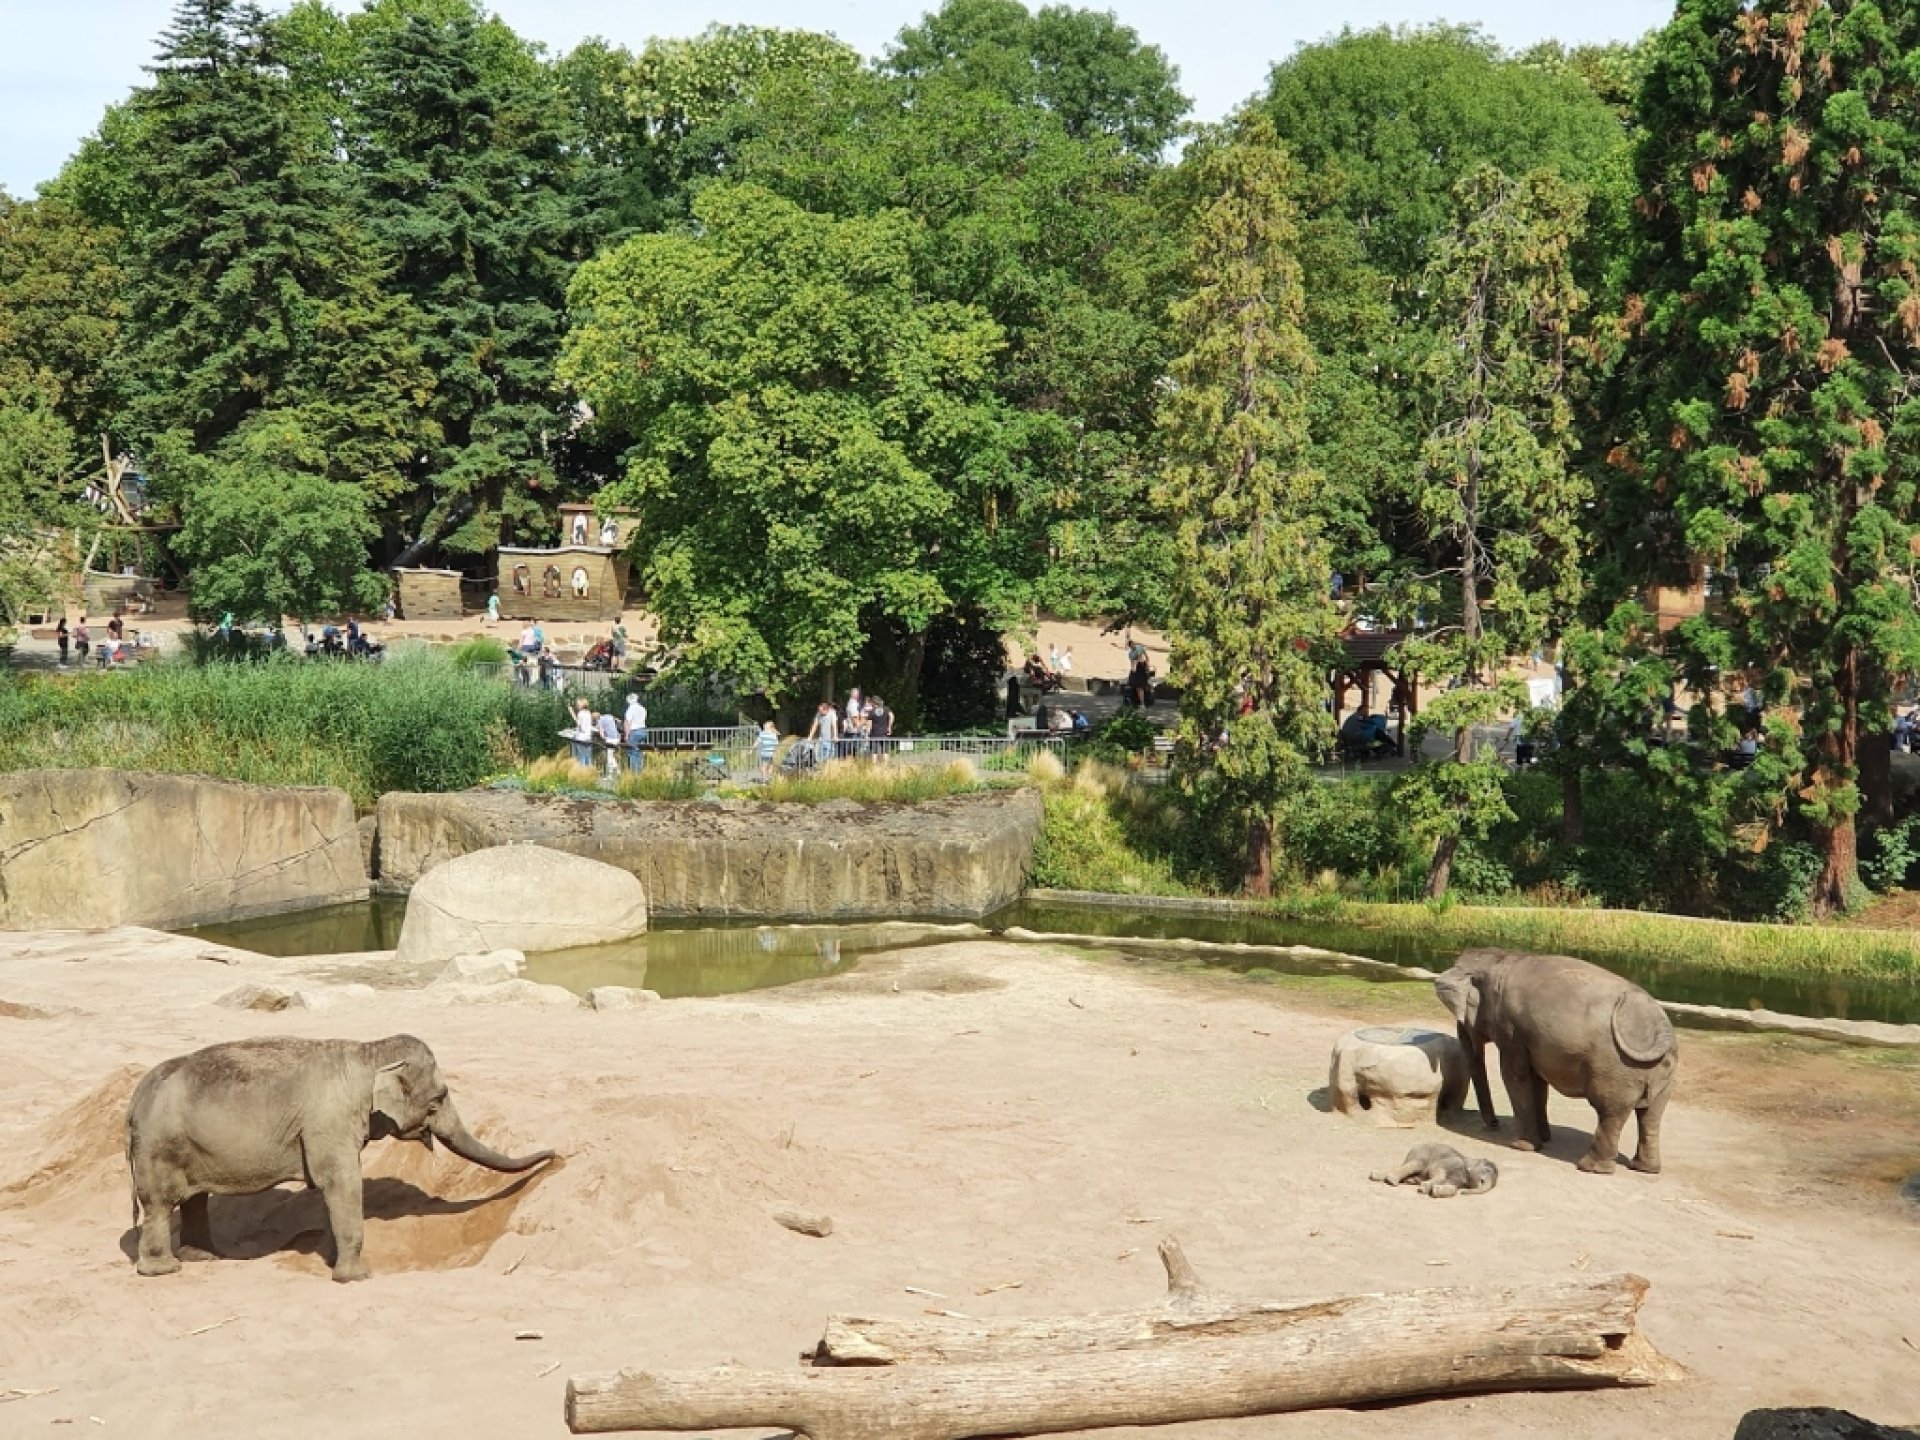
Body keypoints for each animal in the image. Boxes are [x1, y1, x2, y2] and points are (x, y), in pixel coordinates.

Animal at [126, 1034, 555, 1282]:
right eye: (438, 1099)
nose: (555, 1153)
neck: (368, 1052)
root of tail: (131, 1105)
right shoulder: (329, 1122)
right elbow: (343, 1181)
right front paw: (357, 1276)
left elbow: (331, 1189)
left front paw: (331, 1259)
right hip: (157, 1150)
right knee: (161, 1205)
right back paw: (164, 1269)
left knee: (194, 1201)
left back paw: (203, 1257)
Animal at [1434, 949, 1677, 1175]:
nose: (1494, 1124)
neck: (1502, 959)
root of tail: (1660, 1027)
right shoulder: (1530, 1038)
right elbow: (1537, 1080)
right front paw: (1544, 1139)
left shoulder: (1511, 1030)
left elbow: (1514, 1075)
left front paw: (1522, 1146)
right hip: (1662, 1073)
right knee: (1651, 1115)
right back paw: (1645, 1168)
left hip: (1618, 1068)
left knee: (1611, 1111)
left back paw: (1591, 1167)